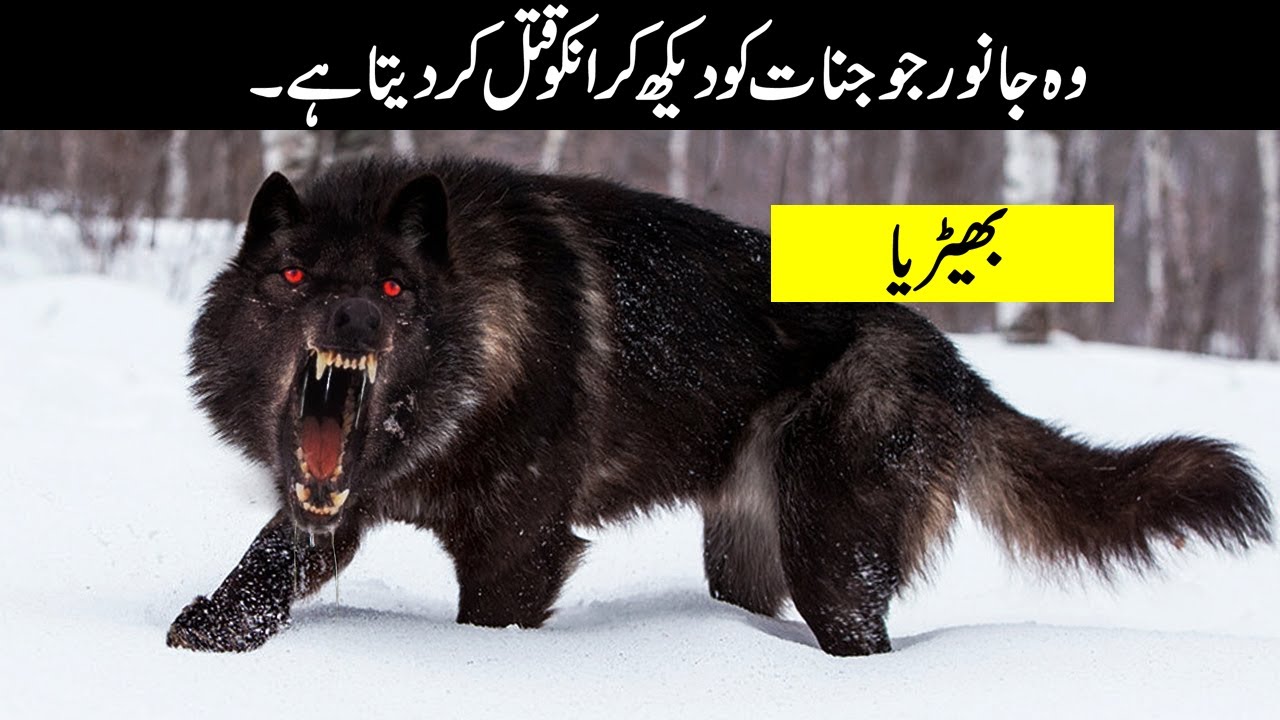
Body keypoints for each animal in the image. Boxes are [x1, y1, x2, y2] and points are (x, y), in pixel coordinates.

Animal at [167, 155, 1273, 656]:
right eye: (296, 278)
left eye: (395, 289)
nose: (352, 321)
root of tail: (952, 360)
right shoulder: (331, 506)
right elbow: (266, 563)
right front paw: (209, 634)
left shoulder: (521, 549)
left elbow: (489, 626)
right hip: (744, 555)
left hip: (831, 557)